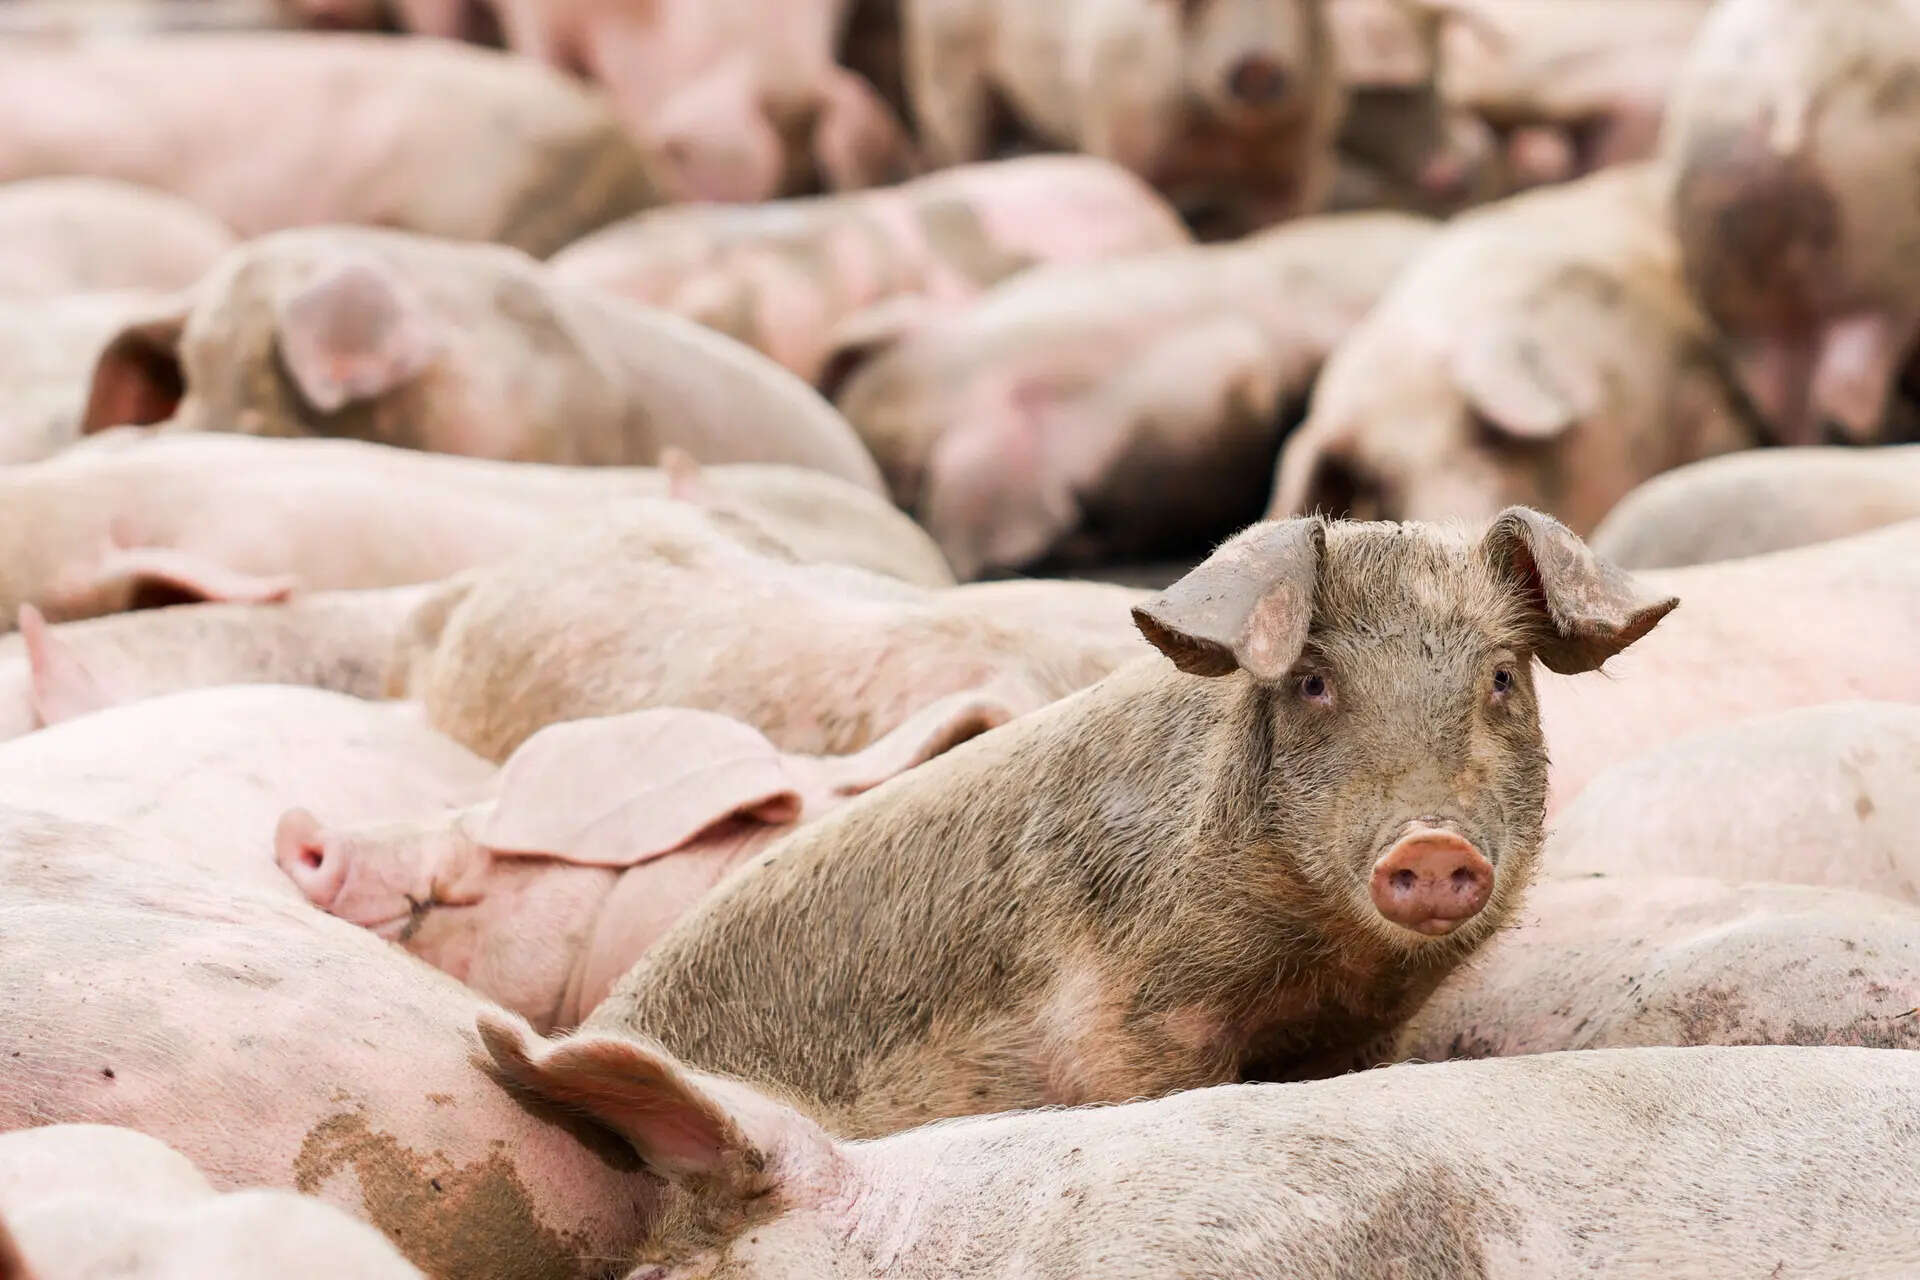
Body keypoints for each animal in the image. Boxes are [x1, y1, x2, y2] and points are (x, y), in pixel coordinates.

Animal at [563, 509, 1674, 1138]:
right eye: (1314, 681)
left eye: (1502, 676)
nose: (1431, 844)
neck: (1322, 959)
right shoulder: (1126, 1017)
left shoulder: (1362, 1031)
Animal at [902, 0, 1348, 235]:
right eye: (1197, 5)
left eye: (1302, 5)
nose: (1257, 67)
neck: (1224, 139)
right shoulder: (1120, 125)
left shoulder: (1304, 154)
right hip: (943, 65)